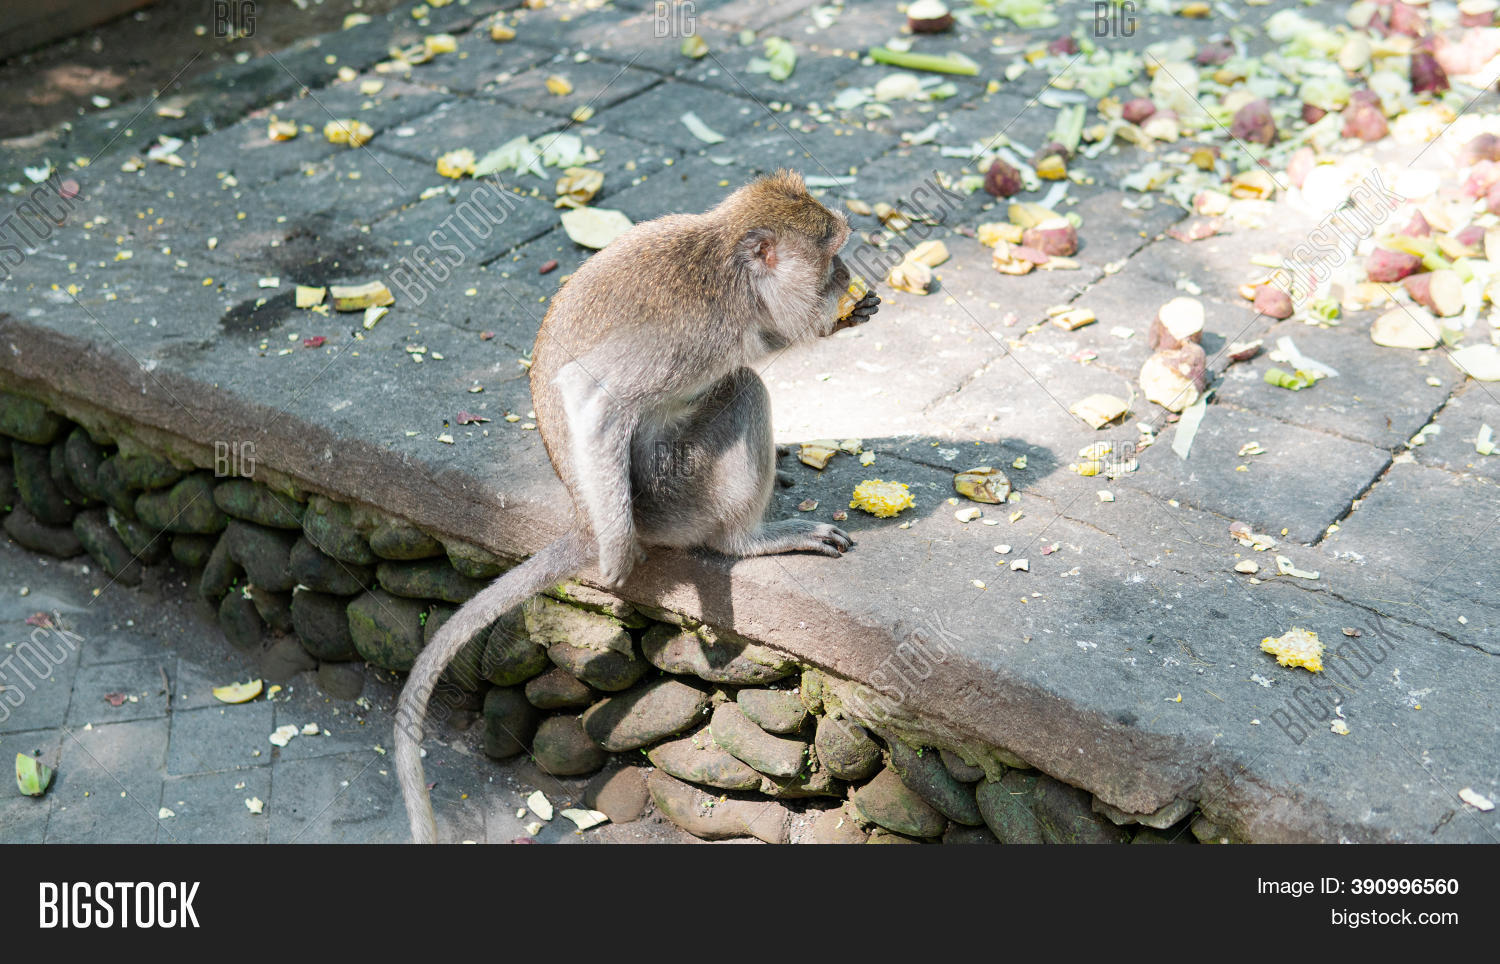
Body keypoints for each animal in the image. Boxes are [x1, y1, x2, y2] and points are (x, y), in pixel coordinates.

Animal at [395, 170, 880, 843]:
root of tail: (583, 516)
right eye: (831, 255)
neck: (731, 273)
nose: (844, 278)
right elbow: (596, 398)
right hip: (675, 497)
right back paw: (736, 539)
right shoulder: (696, 332)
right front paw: (619, 559)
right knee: (741, 388)